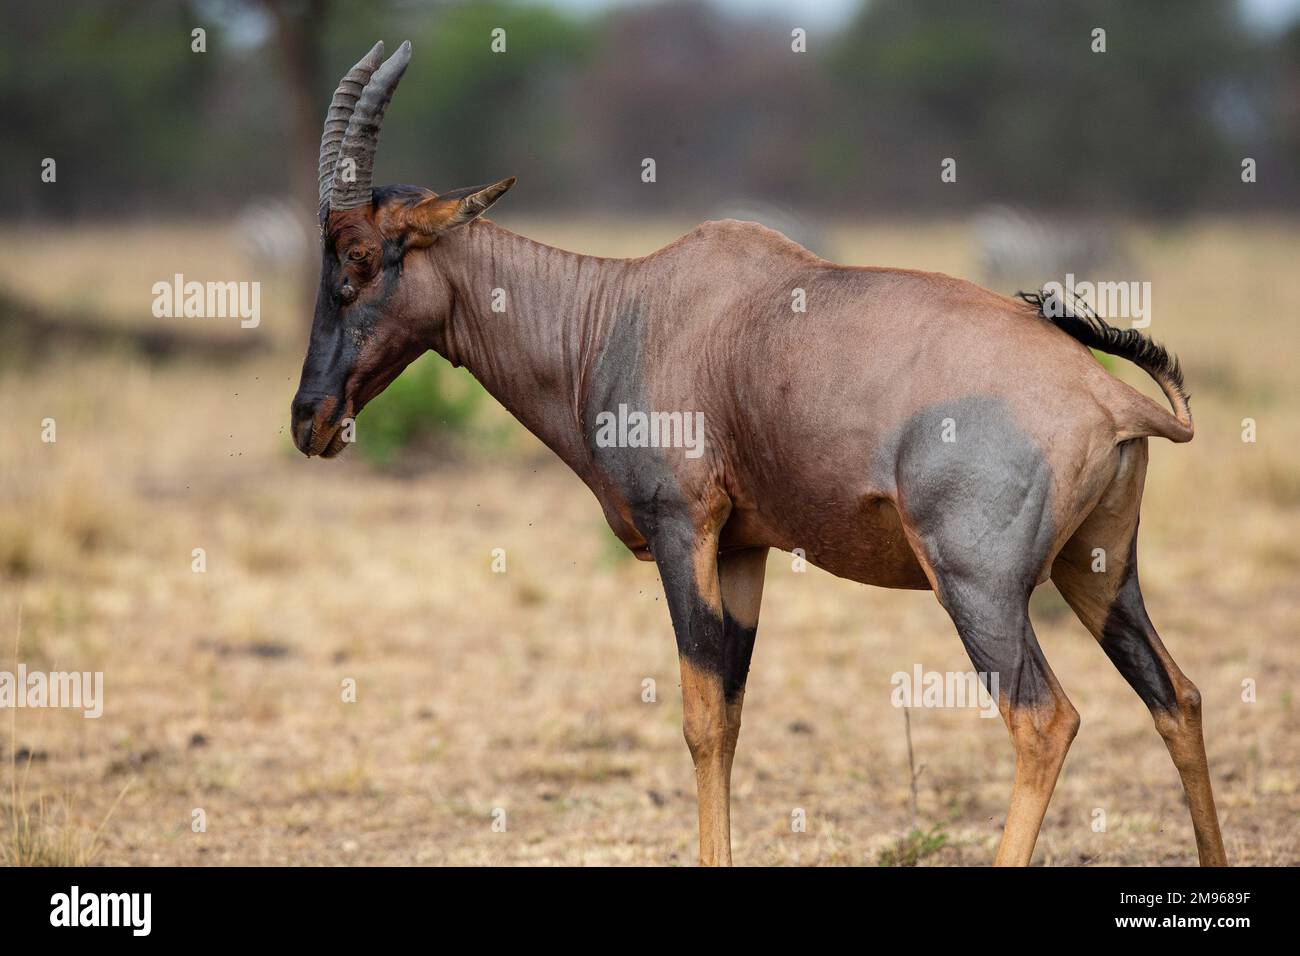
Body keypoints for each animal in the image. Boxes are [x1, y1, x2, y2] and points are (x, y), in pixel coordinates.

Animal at [292, 41, 1227, 867]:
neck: (625, 308)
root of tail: (1114, 400)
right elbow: (733, 715)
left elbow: (700, 717)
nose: (309, 420)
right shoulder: (745, 549)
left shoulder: (684, 530)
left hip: (979, 587)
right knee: (1177, 697)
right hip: (1100, 574)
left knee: (1044, 721)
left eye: (360, 257)